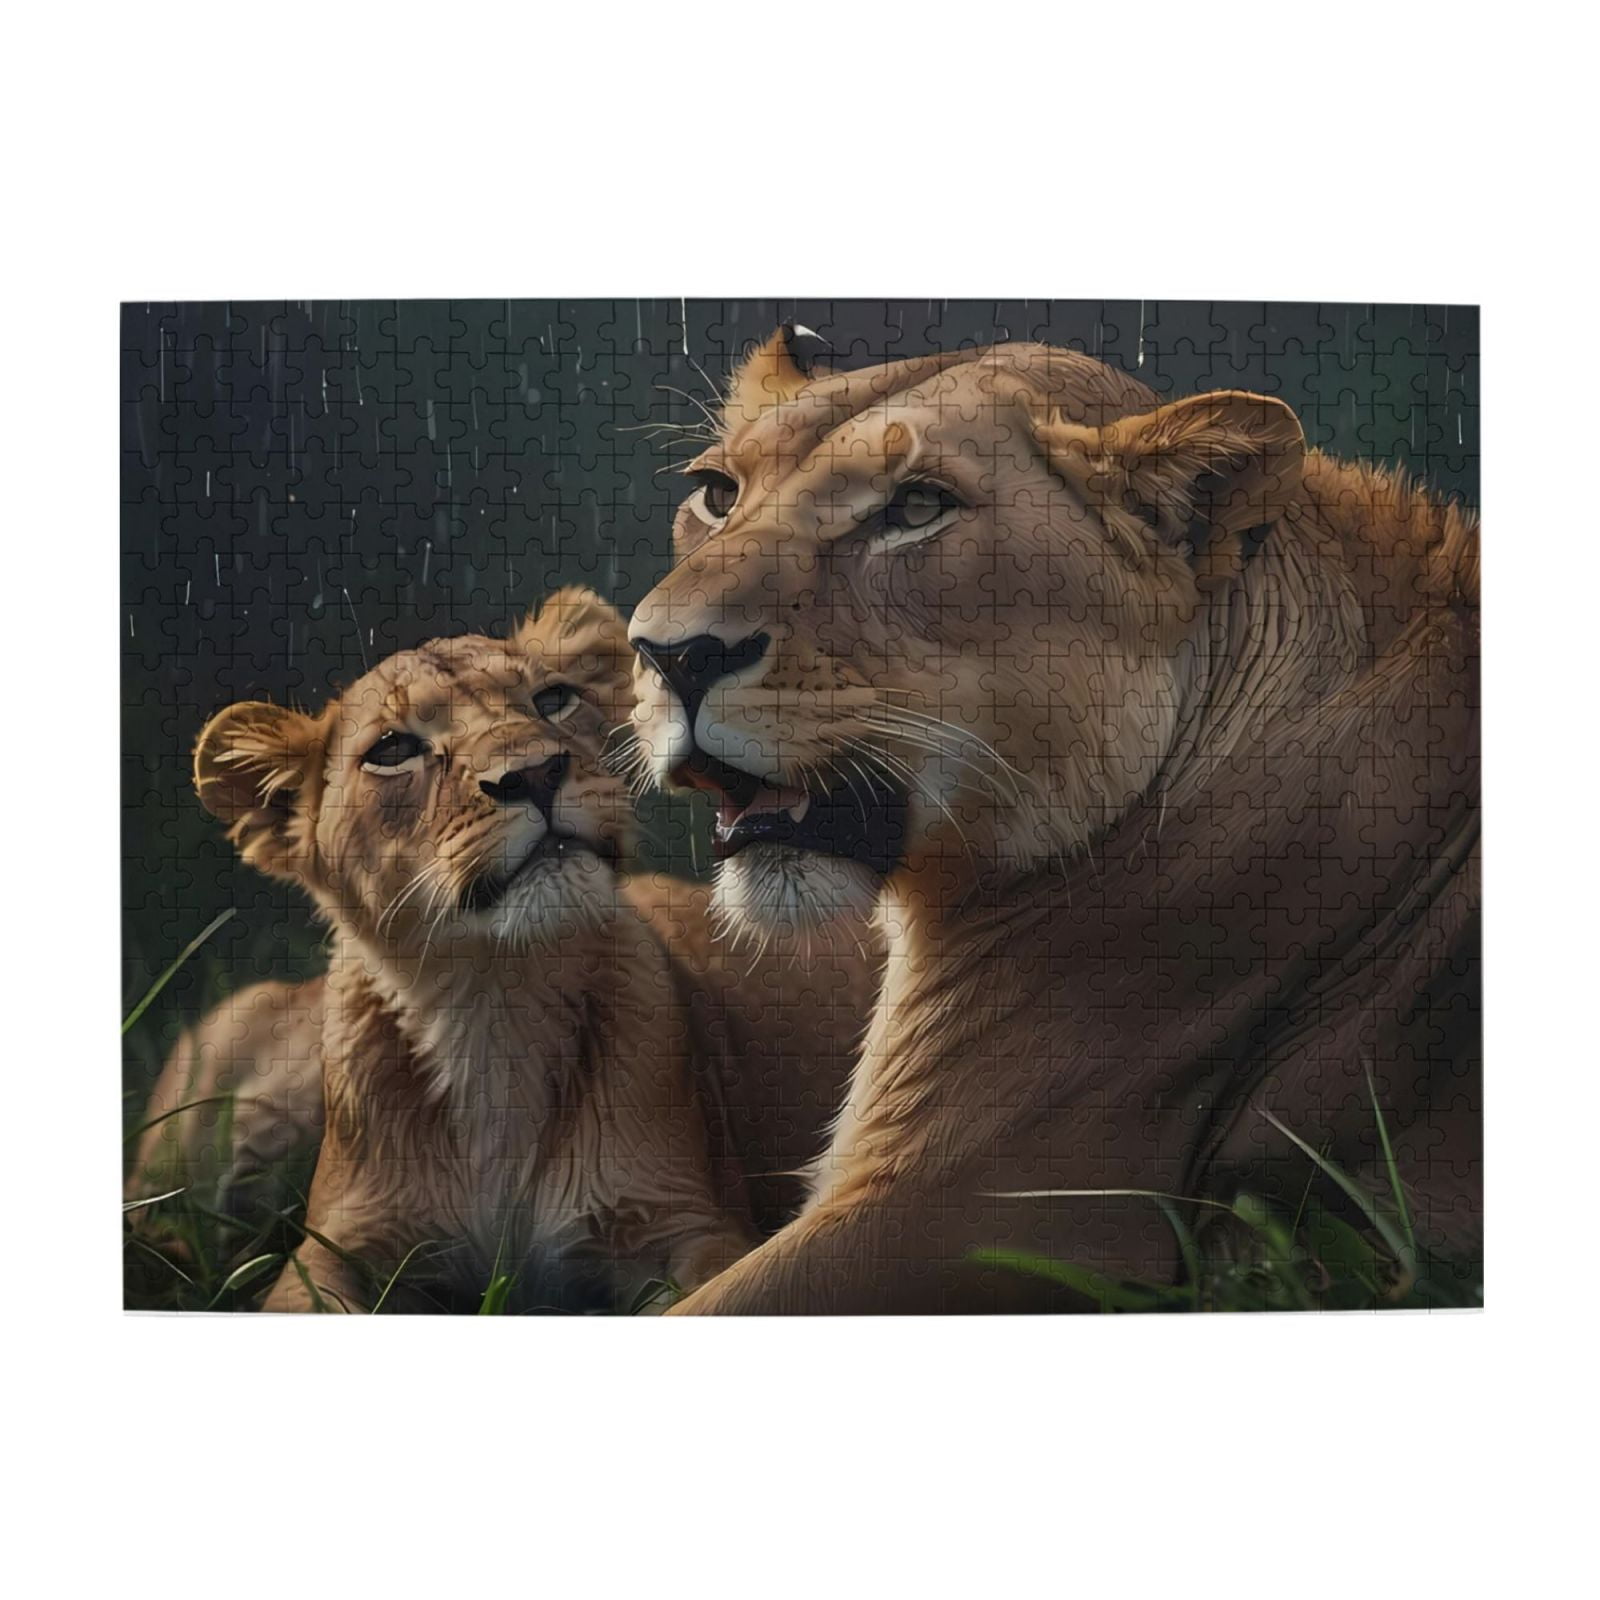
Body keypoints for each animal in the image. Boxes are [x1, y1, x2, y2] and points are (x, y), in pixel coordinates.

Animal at [186, 587, 869, 1311]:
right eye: (393, 748)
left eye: (554, 699)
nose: (536, 774)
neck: (494, 1007)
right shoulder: (330, 1251)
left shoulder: (690, 1225)